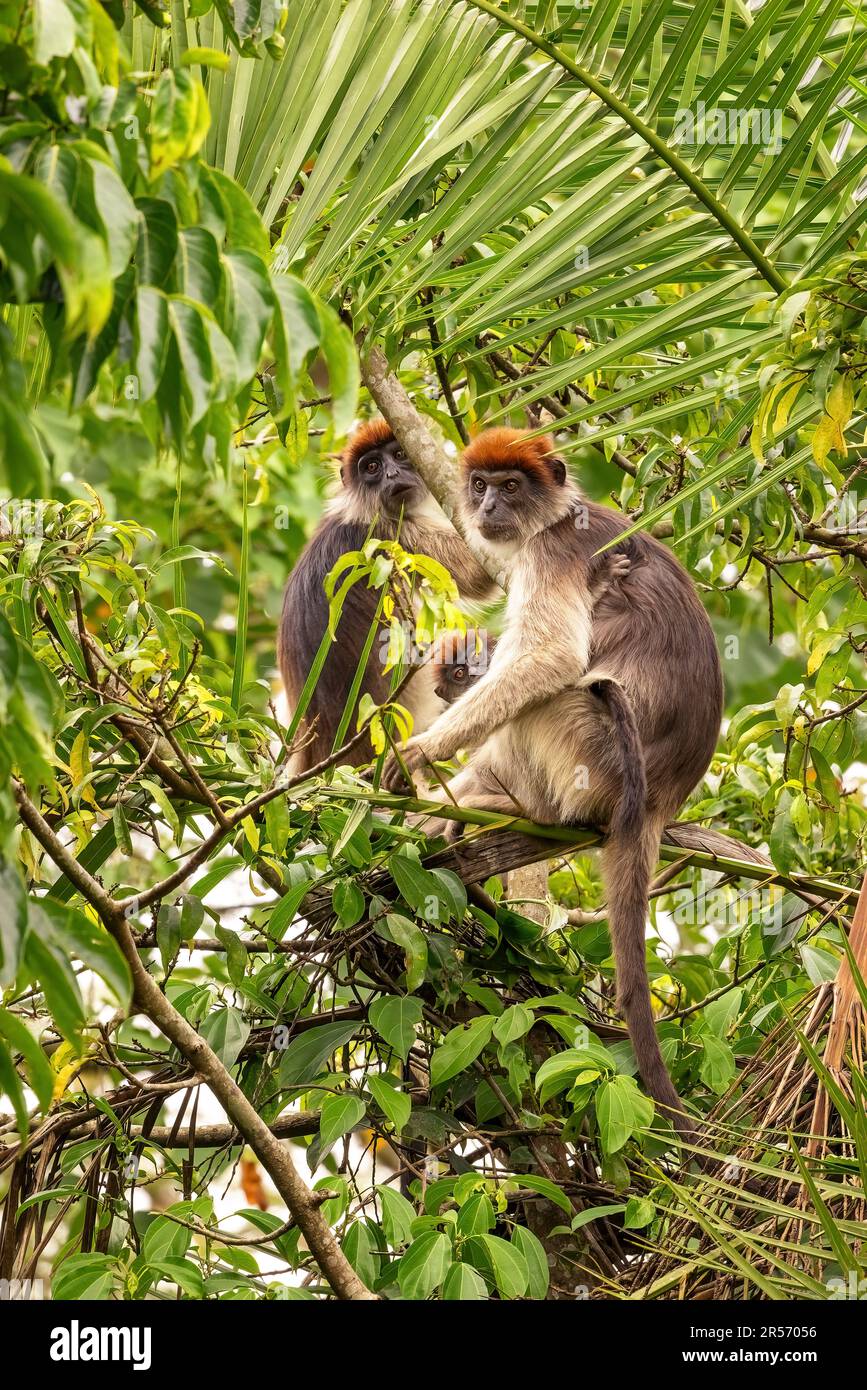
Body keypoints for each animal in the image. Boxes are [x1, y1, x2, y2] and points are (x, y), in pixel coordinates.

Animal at [383, 428, 724, 1137]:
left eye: (512, 486)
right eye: (480, 485)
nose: (488, 506)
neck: (558, 515)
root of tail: (658, 800)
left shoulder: (553, 554)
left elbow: (549, 659)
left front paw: (422, 754)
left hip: (589, 754)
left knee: (552, 691)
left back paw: (501, 804)